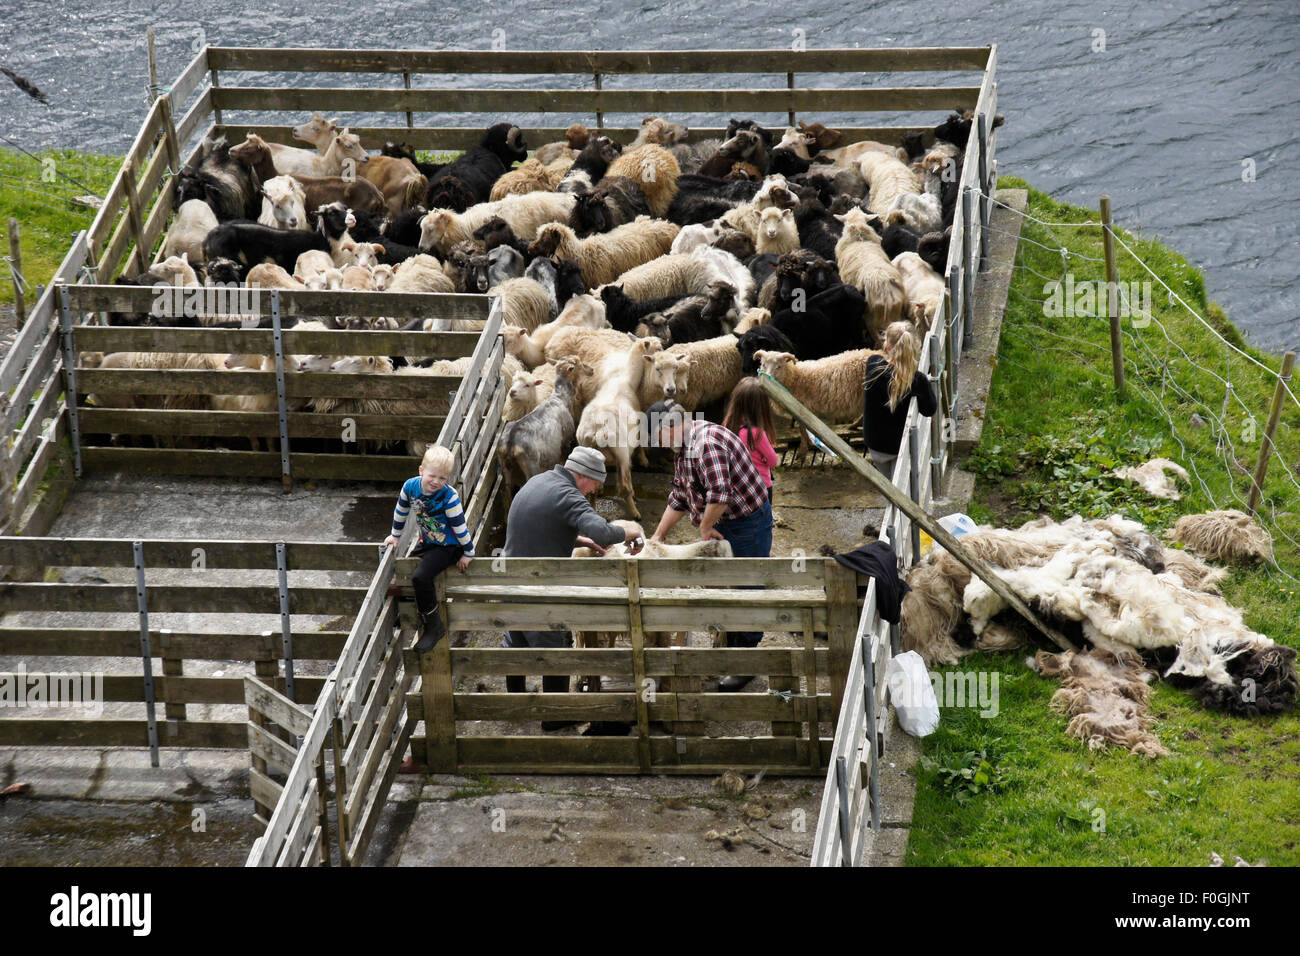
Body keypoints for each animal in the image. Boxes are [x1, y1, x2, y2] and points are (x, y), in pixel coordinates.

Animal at [498, 356, 596, 509]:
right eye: (579, 365)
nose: (591, 370)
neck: (560, 398)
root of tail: (510, 442)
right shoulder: (566, 441)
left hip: (504, 466)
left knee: (507, 494)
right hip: (531, 464)